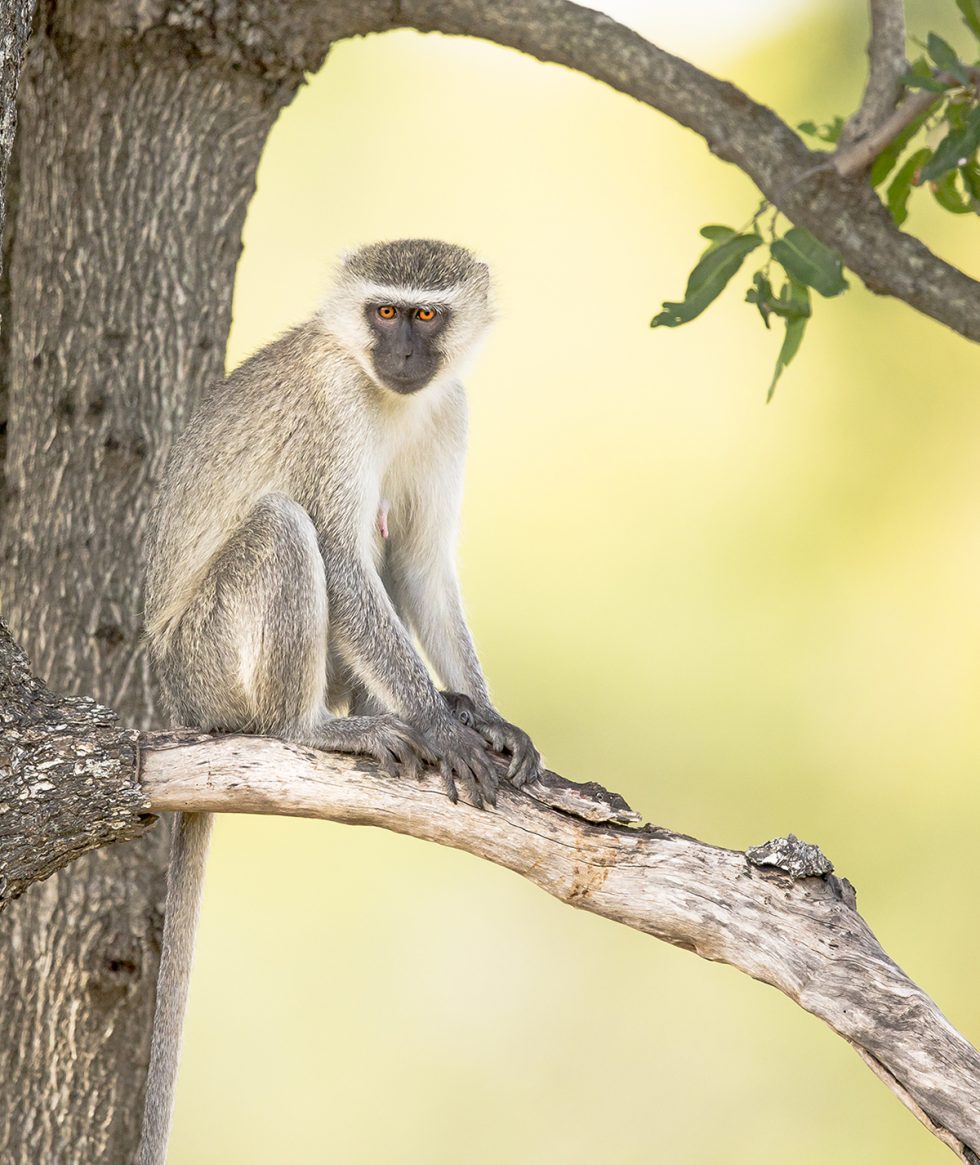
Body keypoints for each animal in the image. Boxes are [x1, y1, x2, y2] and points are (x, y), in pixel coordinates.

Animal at [136, 239, 542, 1164]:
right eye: (383, 312)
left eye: (424, 315)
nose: (404, 354)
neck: (385, 394)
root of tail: (180, 700)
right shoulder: (332, 414)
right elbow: (344, 557)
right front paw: (441, 728)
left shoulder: (451, 407)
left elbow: (420, 567)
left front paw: (482, 716)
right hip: (208, 659)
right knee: (288, 526)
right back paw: (317, 731)